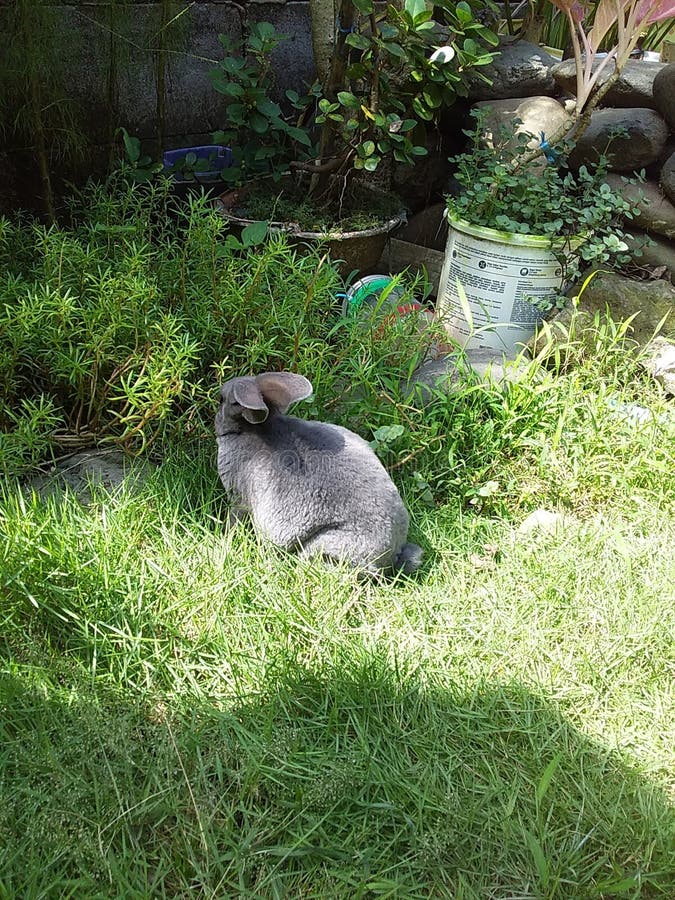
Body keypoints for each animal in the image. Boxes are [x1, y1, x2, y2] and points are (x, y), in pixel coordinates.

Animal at [215, 371, 423, 575]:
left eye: (221, 400)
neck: (251, 428)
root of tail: (391, 557)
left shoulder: (238, 498)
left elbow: (235, 519)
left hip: (323, 548)